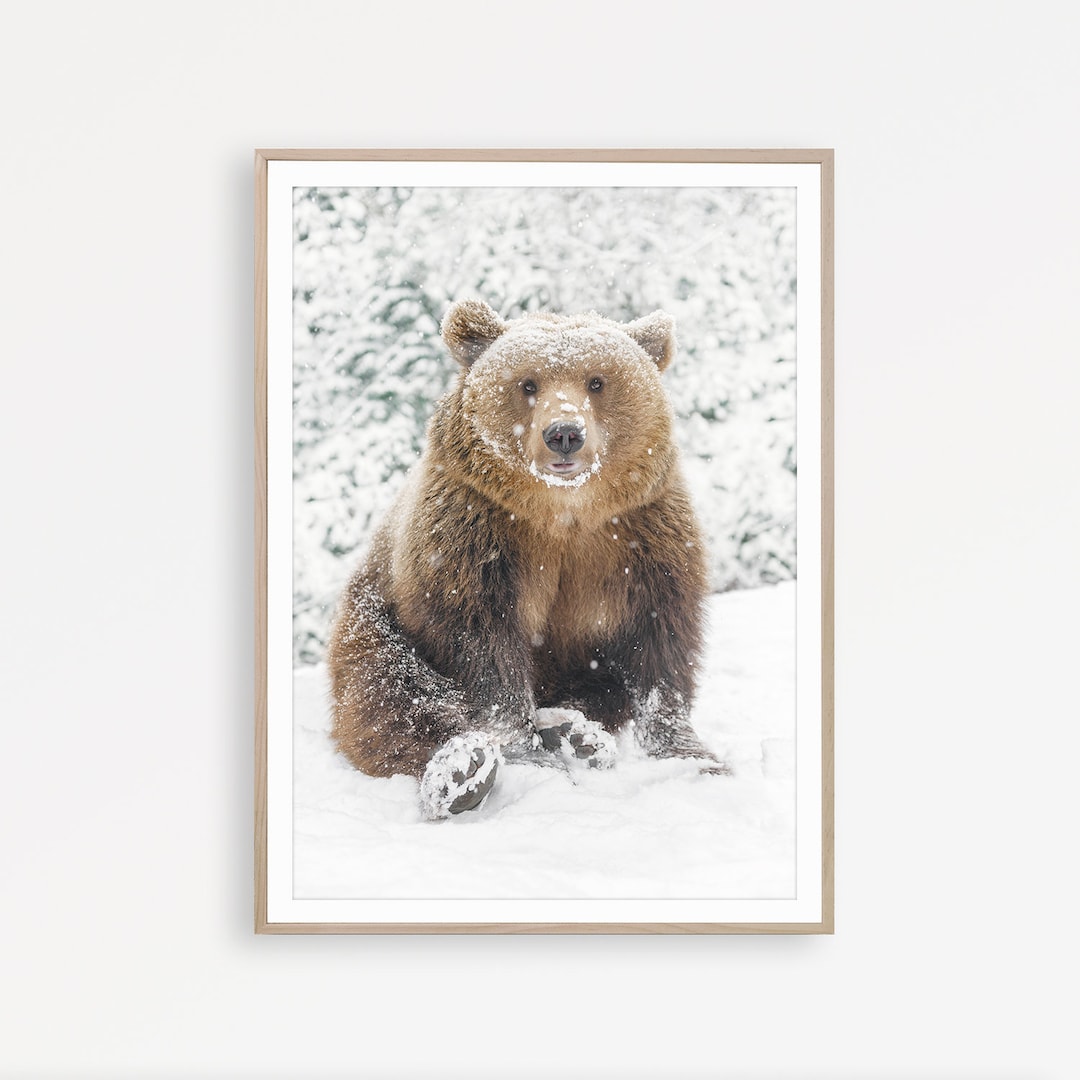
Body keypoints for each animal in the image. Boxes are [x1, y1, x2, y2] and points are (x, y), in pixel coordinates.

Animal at [327, 299, 727, 819]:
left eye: (596, 381)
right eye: (528, 383)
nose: (564, 434)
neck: (563, 514)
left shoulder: (641, 539)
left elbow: (659, 643)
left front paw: (692, 755)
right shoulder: (474, 535)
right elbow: (482, 644)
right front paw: (524, 752)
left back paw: (576, 733)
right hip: (375, 614)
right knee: (388, 691)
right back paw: (464, 769)